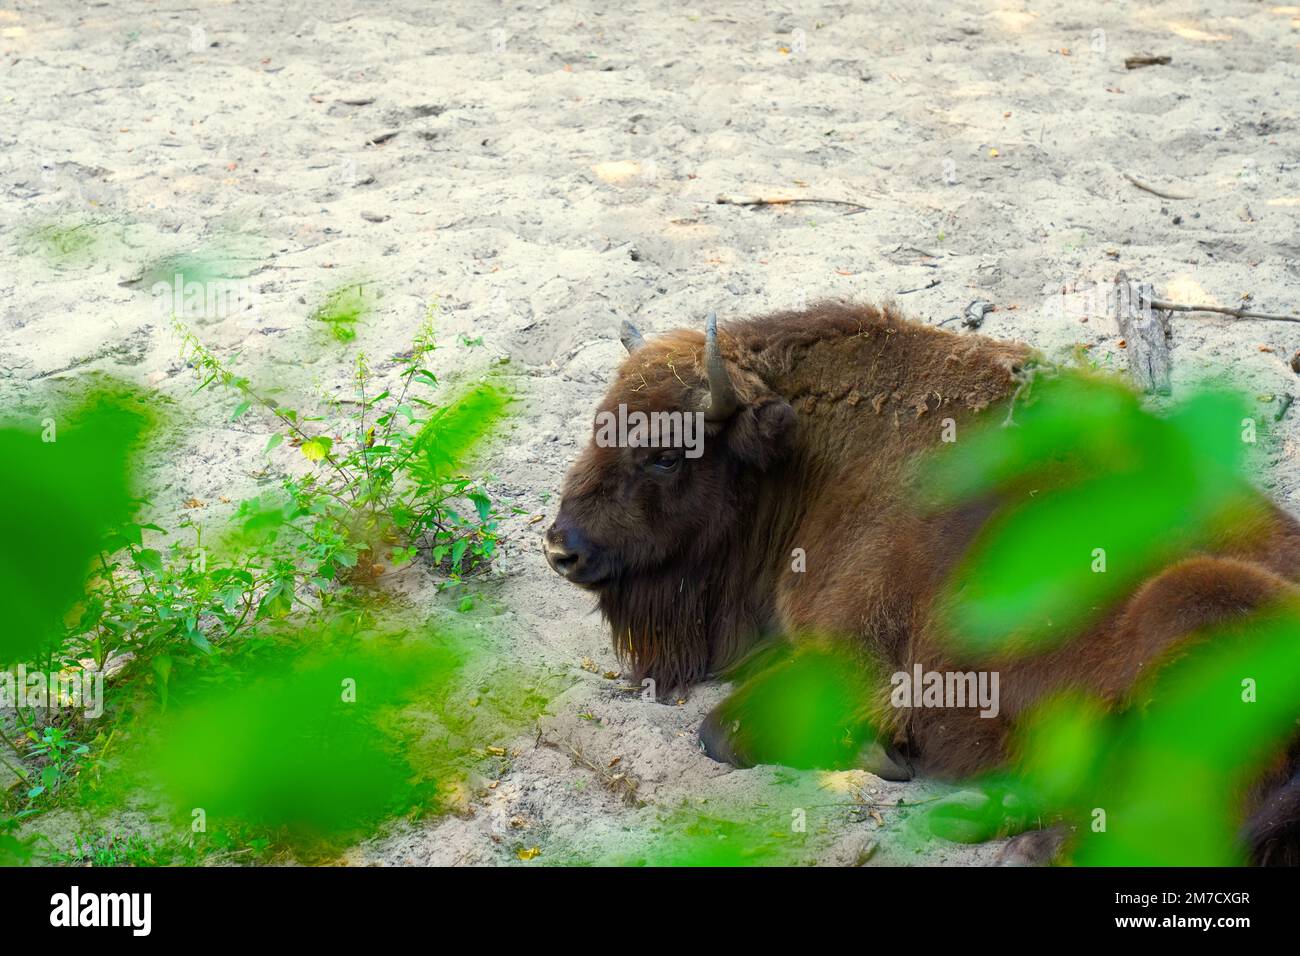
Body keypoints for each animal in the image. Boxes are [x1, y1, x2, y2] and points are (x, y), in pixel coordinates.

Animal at [544, 302, 1300, 865]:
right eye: (599, 425)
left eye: (668, 456)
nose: (560, 548)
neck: (814, 460)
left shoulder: (853, 657)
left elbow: (717, 732)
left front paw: (879, 752)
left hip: (1195, 601)